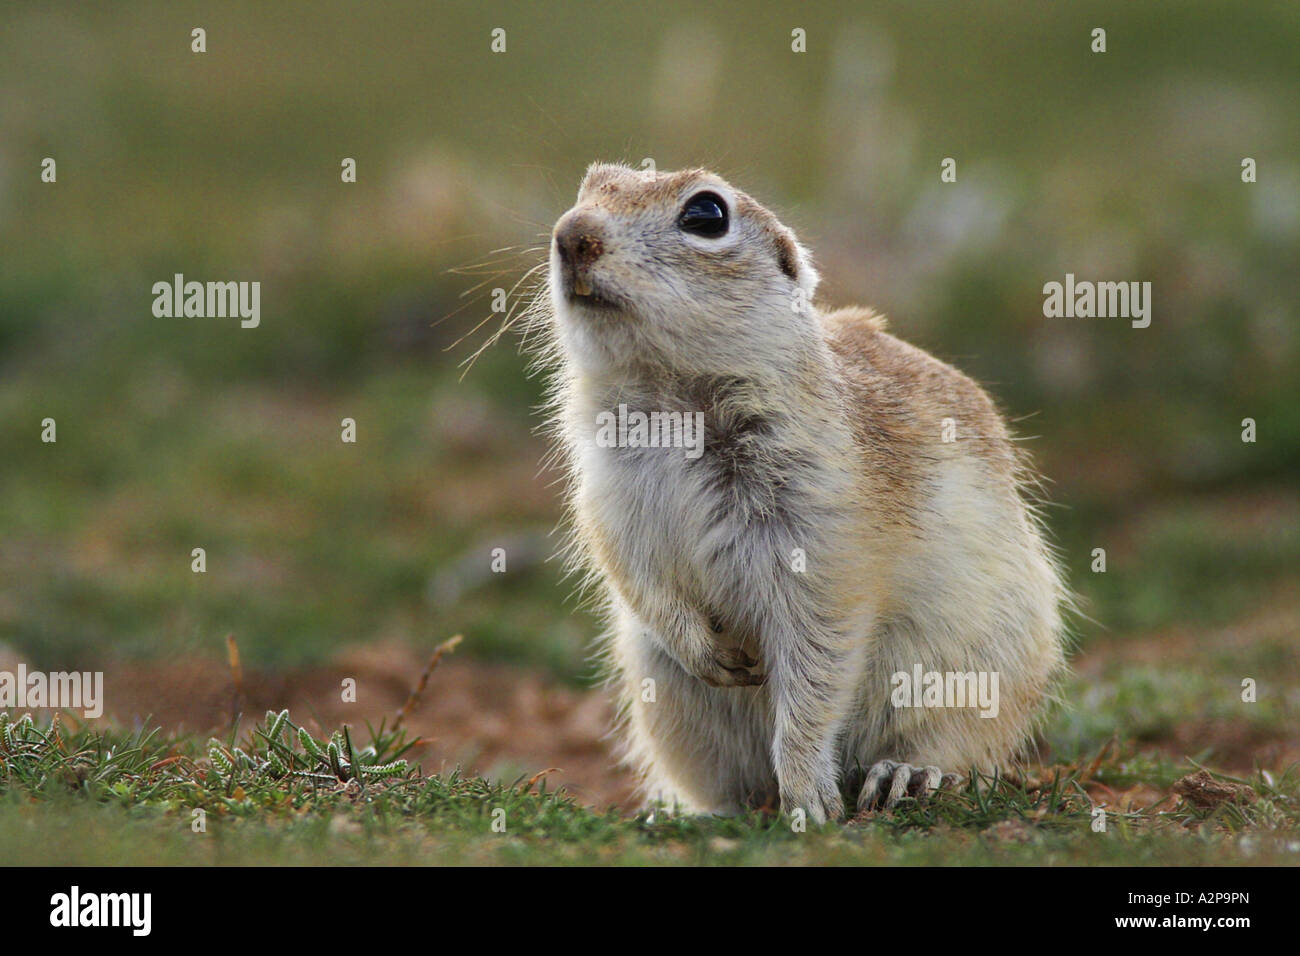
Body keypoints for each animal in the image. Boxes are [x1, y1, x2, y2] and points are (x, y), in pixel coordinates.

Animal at [537, 162, 1068, 822]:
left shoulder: (823, 546)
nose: (570, 235)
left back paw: (903, 774)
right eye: (591, 184)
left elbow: (816, 672)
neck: (671, 397)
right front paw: (711, 652)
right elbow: (638, 579)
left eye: (706, 213)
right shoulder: (609, 503)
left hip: (971, 676)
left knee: (961, 753)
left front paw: (810, 798)